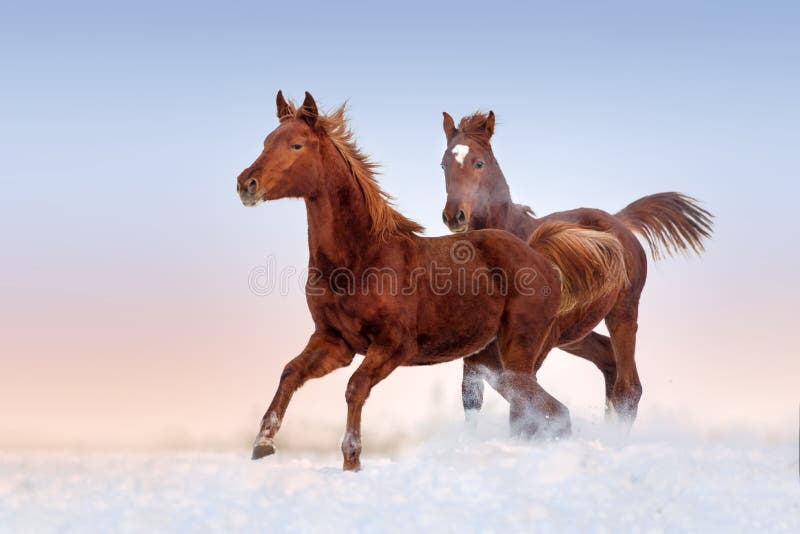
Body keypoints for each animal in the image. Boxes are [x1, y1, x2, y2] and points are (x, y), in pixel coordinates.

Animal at [236, 91, 630, 470]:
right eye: (267, 141)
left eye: (296, 145)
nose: (245, 184)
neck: (361, 258)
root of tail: (542, 256)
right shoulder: (335, 342)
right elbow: (290, 372)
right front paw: (263, 444)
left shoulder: (393, 346)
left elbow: (355, 387)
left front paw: (352, 459)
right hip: (494, 361)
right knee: (543, 411)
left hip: (518, 357)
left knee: (553, 411)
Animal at [440, 110, 714, 424]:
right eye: (444, 164)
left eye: (479, 163)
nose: (454, 215)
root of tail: (619, 221)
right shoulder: (477, 352)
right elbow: (472, 401)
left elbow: (522, 408)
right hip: (572, 335)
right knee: (608, 361)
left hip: (622, 312)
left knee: (628, 389)